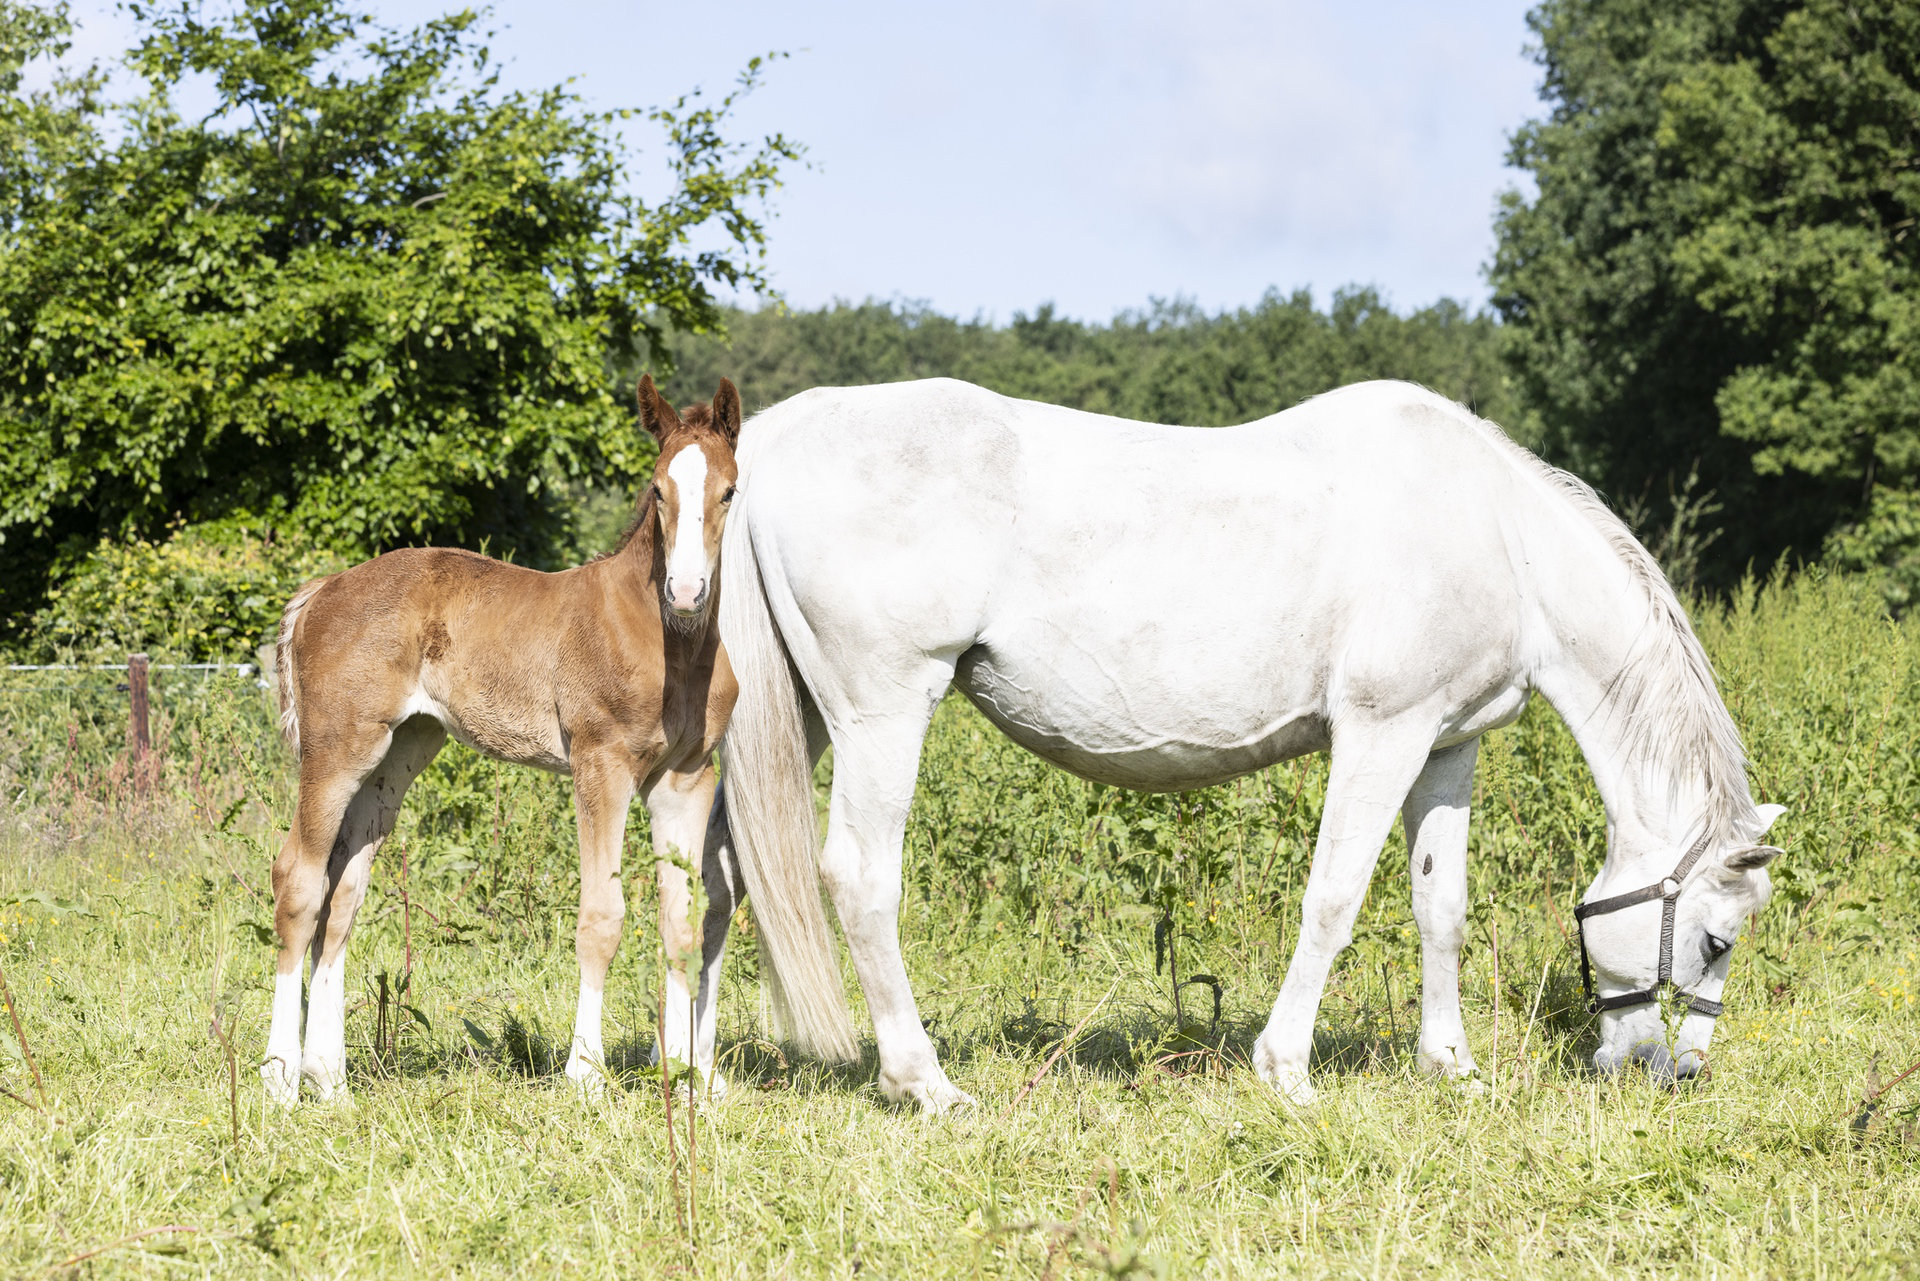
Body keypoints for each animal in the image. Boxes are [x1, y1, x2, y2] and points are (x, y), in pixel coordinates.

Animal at [262, 376, 742, 1106]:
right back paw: (281, 1078)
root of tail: (322, 589)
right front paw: (586, 1075)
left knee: (342, 894)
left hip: (396, 758)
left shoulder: (686, 779)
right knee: (298, 880)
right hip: (337, 751)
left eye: (729, 492)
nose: (686, 591)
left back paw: (330, 1079)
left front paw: (692, 1081)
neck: (667, 641)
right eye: (659, 490)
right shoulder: (600, 766)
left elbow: (684, 924)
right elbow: (602, 916)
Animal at [706, 377, 1787, 1112]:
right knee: (858, 878)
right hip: (882, 712)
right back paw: (924, 1082)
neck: (1500, 536)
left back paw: (696, 1070)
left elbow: (1440, 907)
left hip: (796, 717)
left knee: (720, 876)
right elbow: (1334, 899)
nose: (1673, 1071)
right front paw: (1288, 1070)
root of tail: (771, 442)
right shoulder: (1381, 734)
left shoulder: (1445, 748)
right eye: (1716, 938)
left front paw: (1450, 1066)